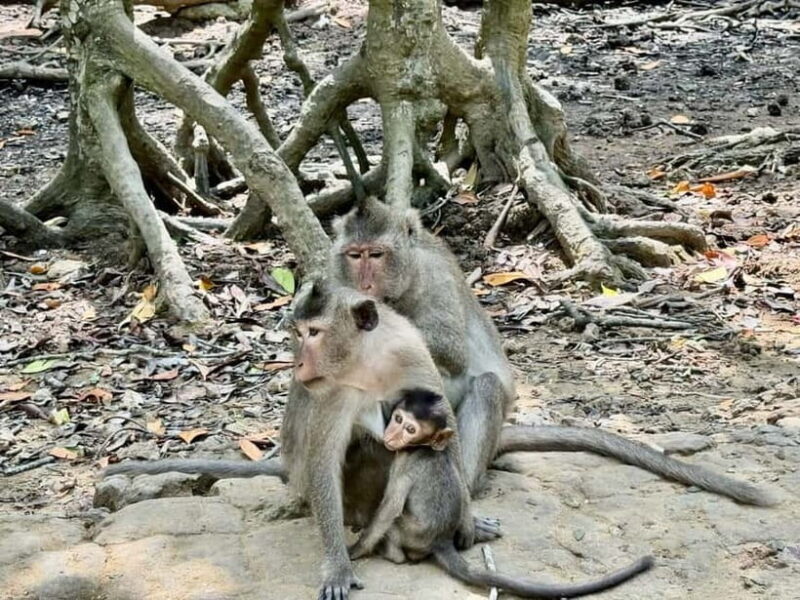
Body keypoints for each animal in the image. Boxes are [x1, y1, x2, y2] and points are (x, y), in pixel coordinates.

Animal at [348, 388, 654, 597]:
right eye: (398, 418)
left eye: (410, 428)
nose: (392, 434)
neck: (422, 448)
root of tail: (441, 541)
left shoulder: (403, 464)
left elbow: (390, 507)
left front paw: (355, 550)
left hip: (410, 533)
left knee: (394, 526)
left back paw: (393, 554)